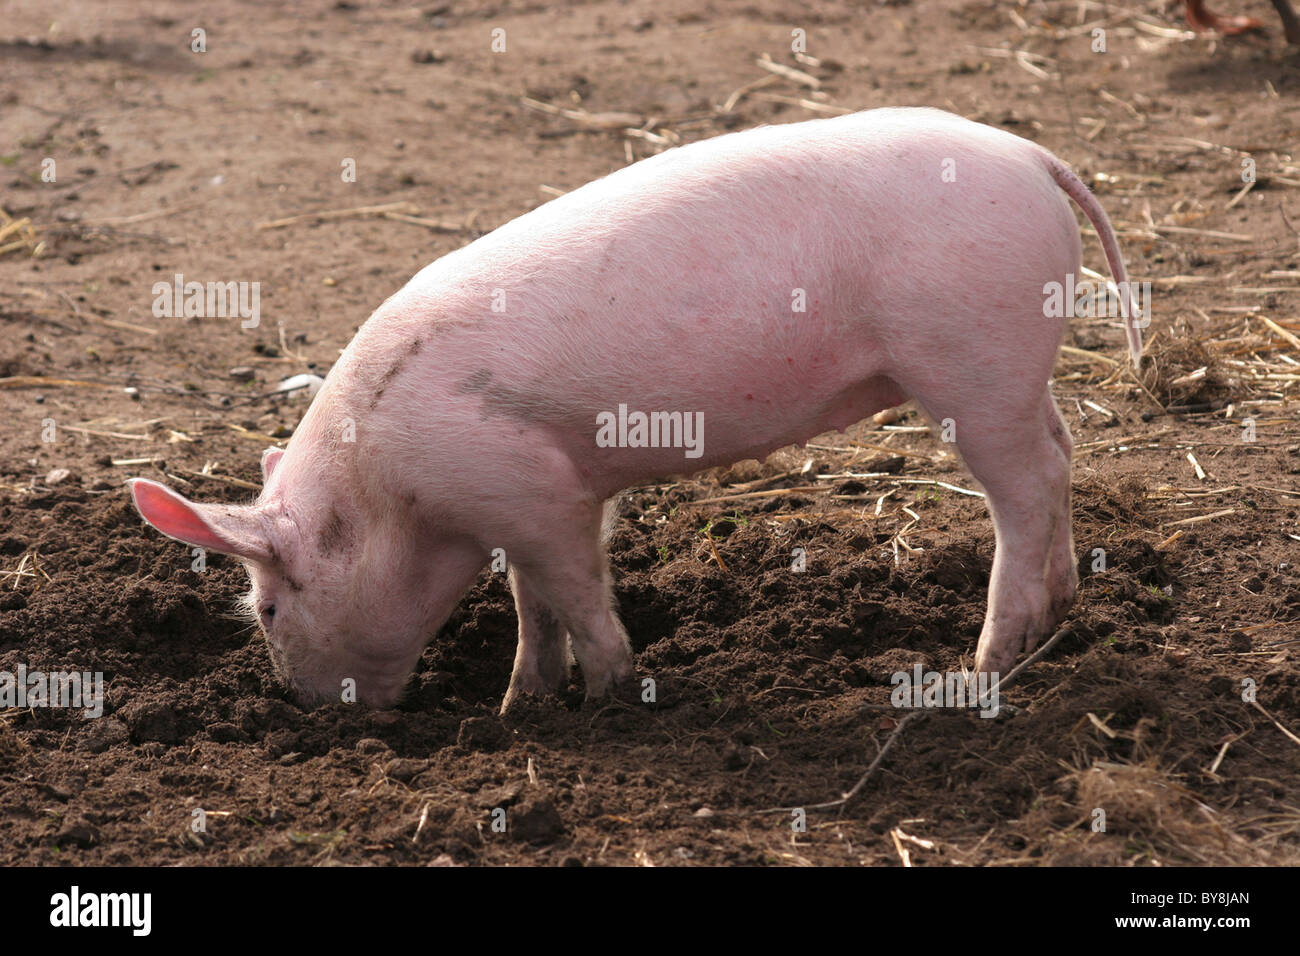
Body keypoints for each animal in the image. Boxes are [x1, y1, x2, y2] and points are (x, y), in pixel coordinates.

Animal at [128, 107, 1143, 713]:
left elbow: (577, 592)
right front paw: (519, 707)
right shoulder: (538, 496)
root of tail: (1033, 157)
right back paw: (1060, 615)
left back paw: (986, 666)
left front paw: (612, 697)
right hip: (1015, 369)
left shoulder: (538, 495)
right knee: (1061, 454)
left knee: (1025, 489)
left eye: (264, 608)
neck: (393, 497)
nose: (304, 708)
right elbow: (533, 605)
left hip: (970, 362)